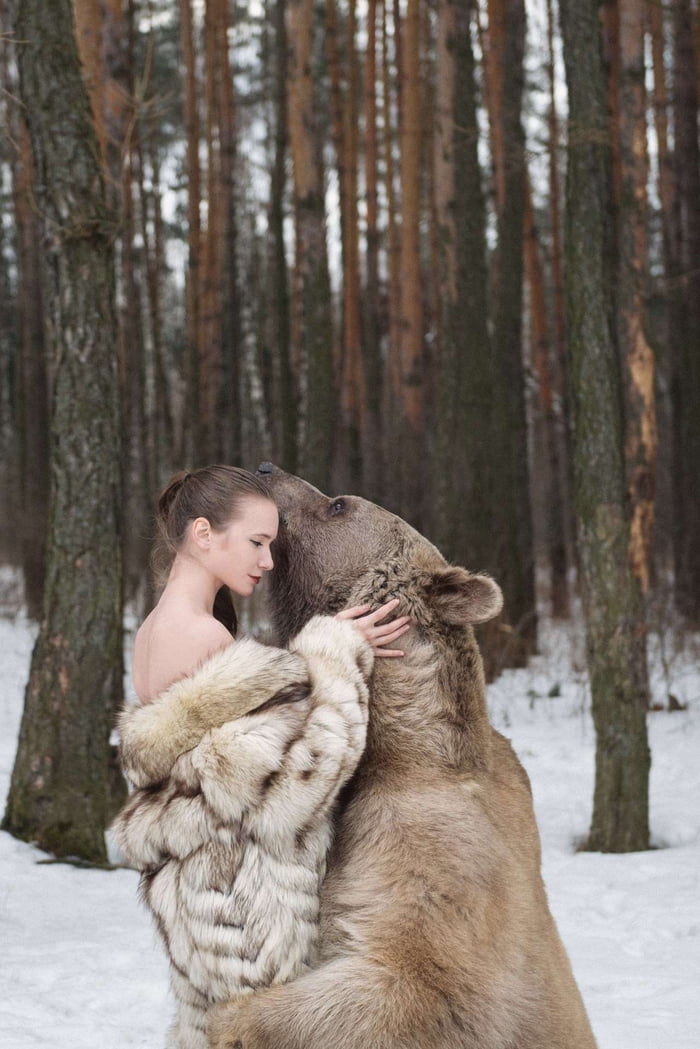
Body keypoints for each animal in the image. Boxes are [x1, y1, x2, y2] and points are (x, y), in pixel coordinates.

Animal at [208, 464, 597, 1049]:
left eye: (339, 504)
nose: (267, 469)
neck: (398, 745)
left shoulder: (435, 864)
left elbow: (400, 982)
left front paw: (229, 1018)